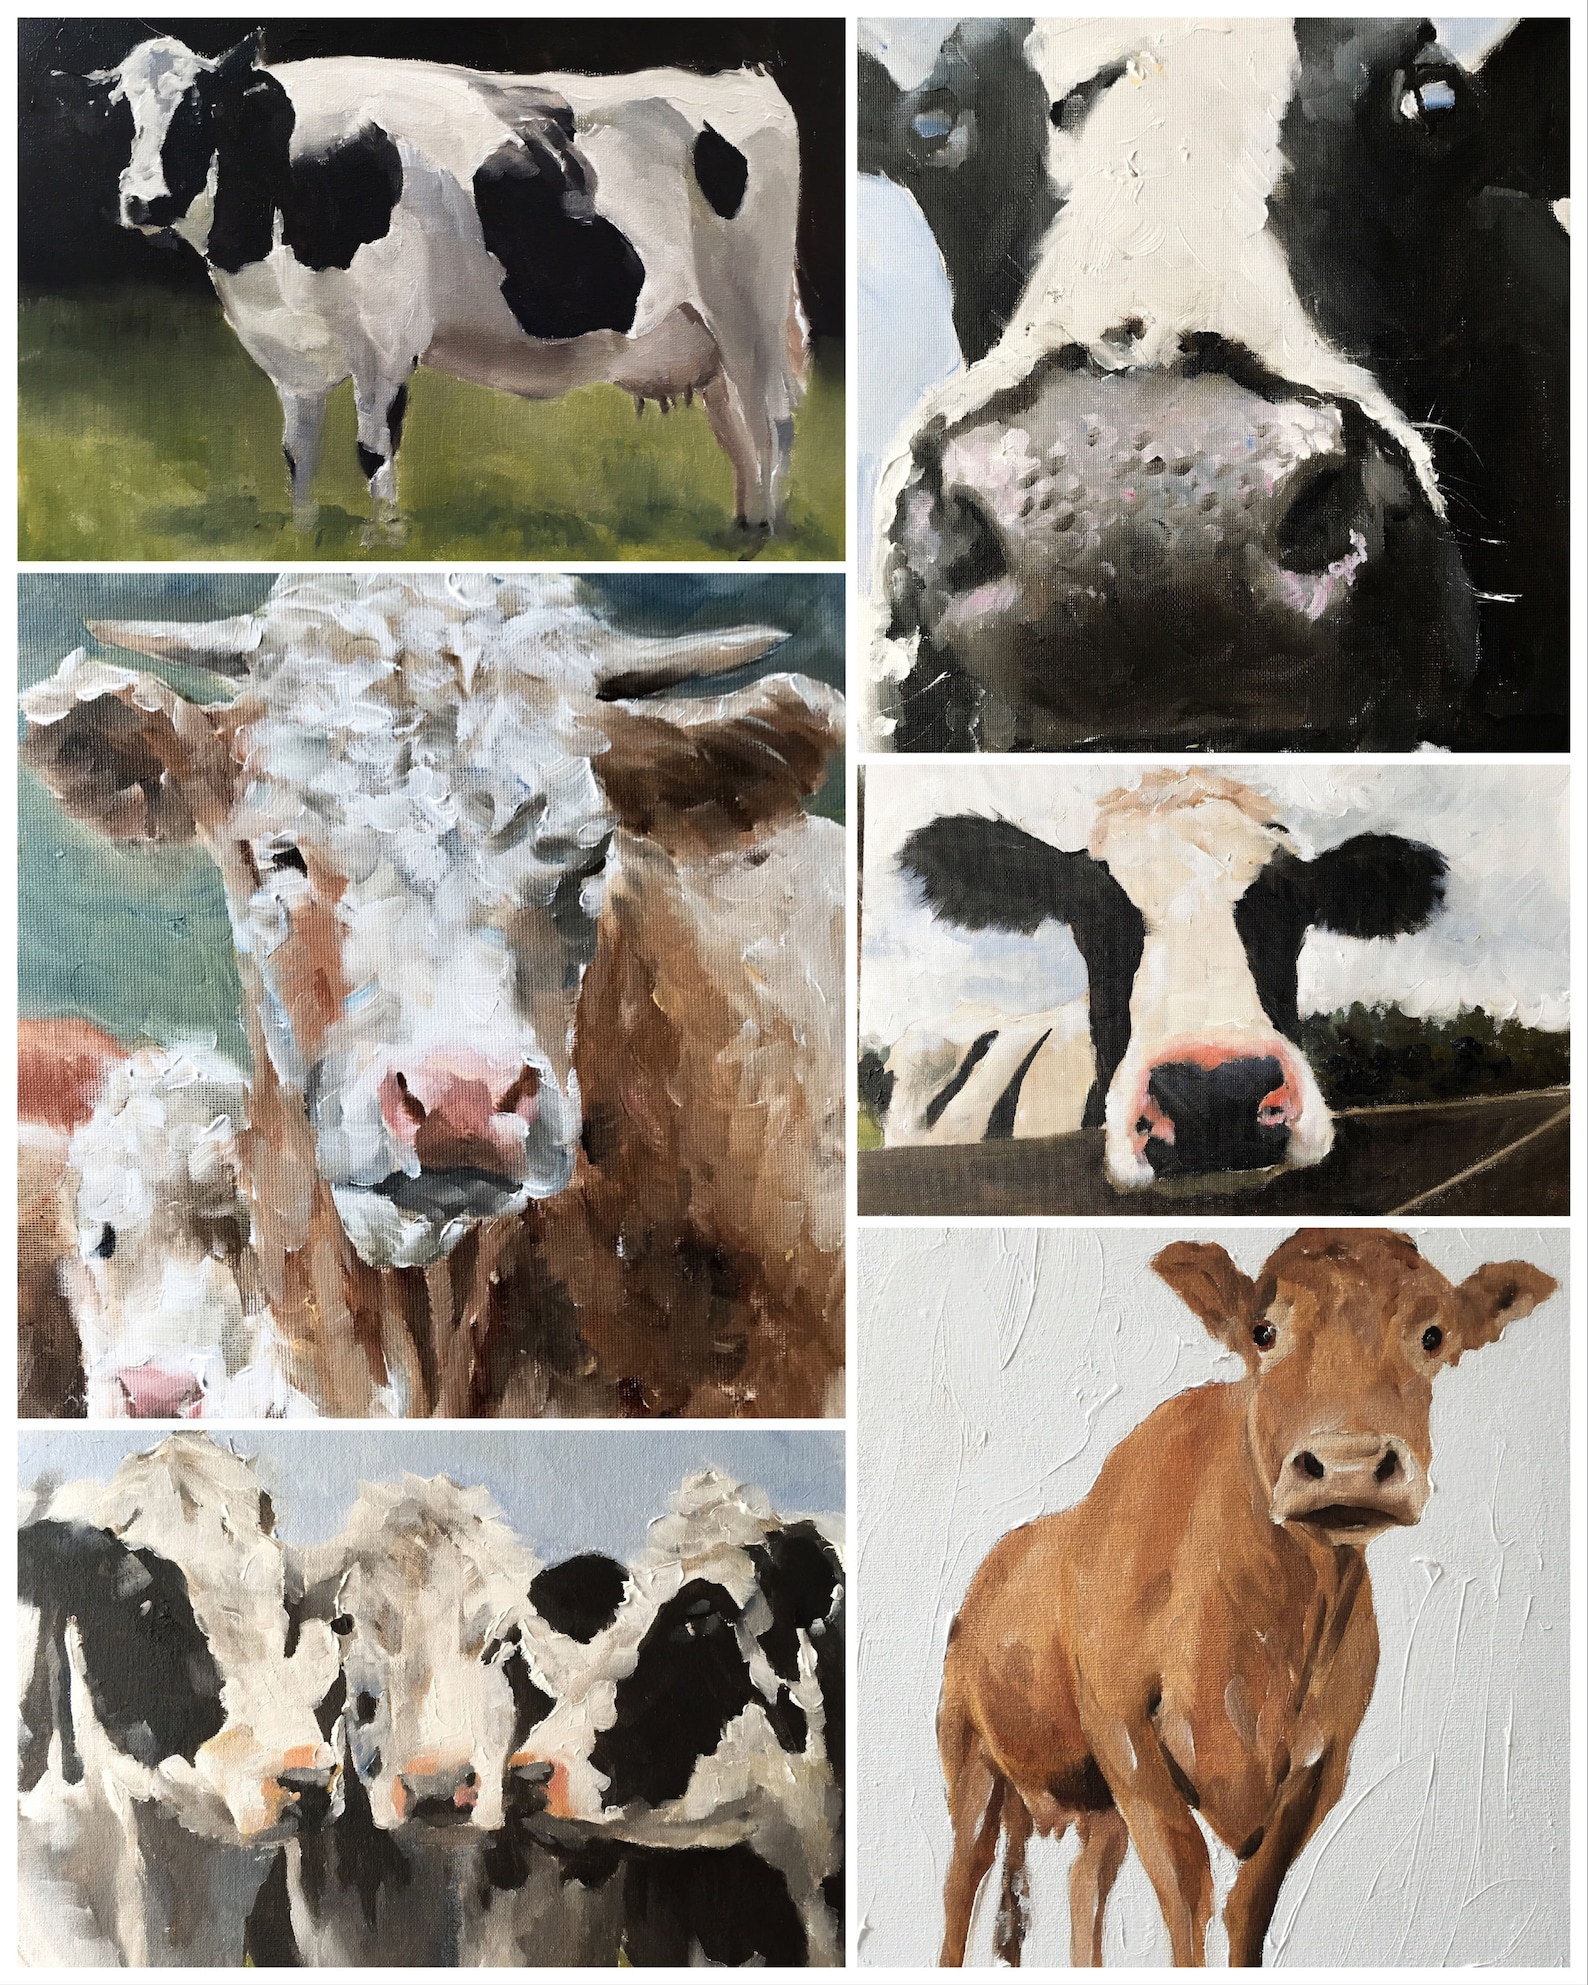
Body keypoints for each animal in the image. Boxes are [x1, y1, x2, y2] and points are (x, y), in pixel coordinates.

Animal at [91, 34, 807, 530]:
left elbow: (374, 453)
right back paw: (745, 525)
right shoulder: (292, 354)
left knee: (772, 421)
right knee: (738, 429)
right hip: (704, 338)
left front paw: (383, 542)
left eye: (200, 110)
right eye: (123, 113)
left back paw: (768, 534)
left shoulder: (385, 342)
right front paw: (302, 536)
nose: (142, 201)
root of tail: (747, 82)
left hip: (750, 313)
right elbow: (299, 456)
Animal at [938, 1228, 1559, 1967]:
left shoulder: (1321, 1763)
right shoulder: (1124, 1731)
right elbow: (1189, 1890)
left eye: (1433, 1335)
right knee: (962, 1886)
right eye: (1264, 1331)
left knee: (1086, 1888)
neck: (1266, 1625)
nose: (1348, 1464)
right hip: (970, 1759)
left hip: (1095, 1806)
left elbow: (1249, 1909)